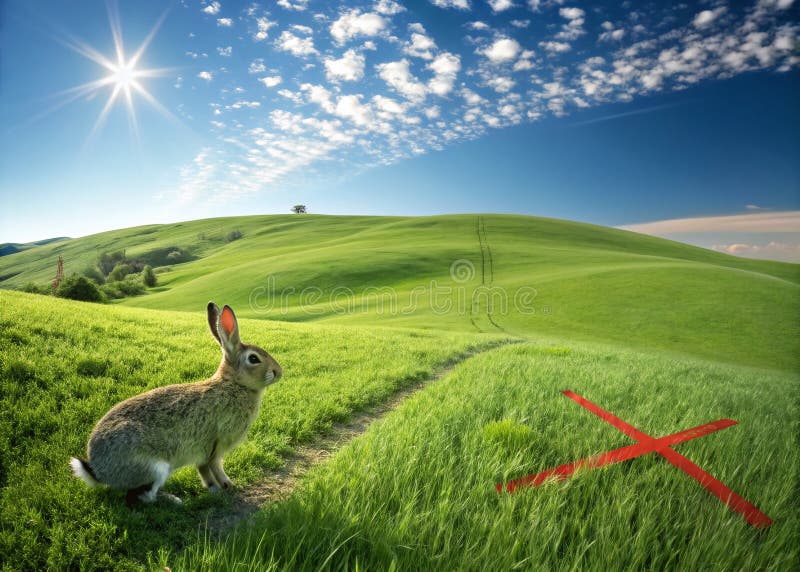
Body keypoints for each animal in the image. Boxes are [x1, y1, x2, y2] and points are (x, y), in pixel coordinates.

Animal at [70, 302, 282, 506]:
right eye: (253, 359)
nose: (279, 372)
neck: (235, 384)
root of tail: (100, 472)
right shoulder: (218, 442)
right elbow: (214, 466)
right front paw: (228, 485)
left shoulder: (204, 451)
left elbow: (204, 470)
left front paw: (214, 489)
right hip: (156, 467)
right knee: (145, 496)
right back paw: (175, 500)